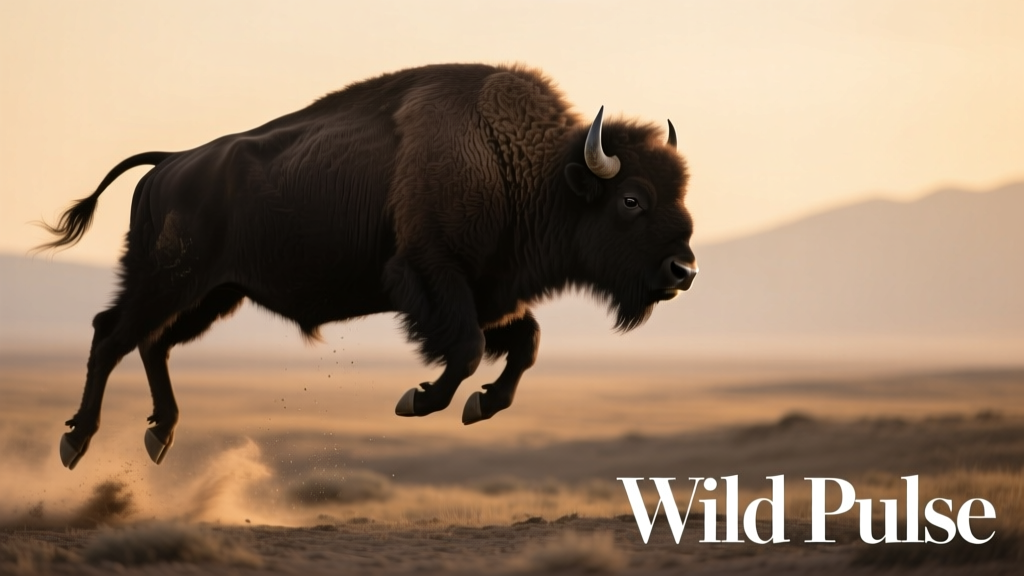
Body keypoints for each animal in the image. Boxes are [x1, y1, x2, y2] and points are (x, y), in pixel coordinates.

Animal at [40, 63, 697, 469]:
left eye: (681, 191)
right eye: (632, 199)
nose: (683, 271)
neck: (522, 170)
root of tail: (169, 163)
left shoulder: (491, 294)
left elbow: (524, 344)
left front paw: (481, 404)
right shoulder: (434, 276)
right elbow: (464, 350)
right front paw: (420, 399)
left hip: (213, 295)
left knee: (152, 342)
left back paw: (160, 433)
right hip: (170, 281)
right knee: (113, 334)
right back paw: (76, 441)